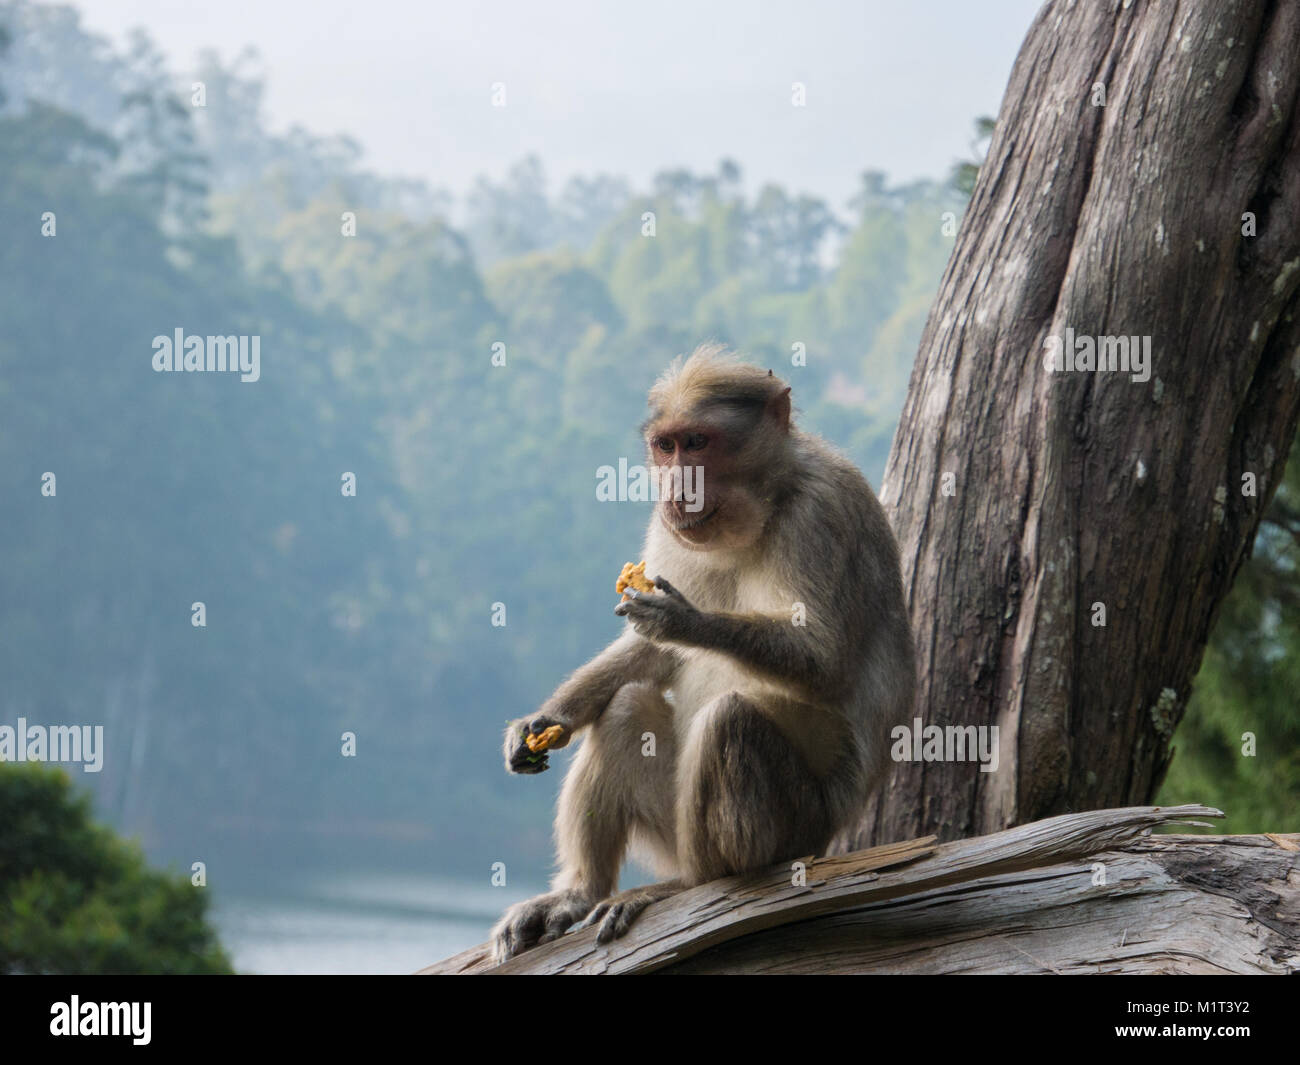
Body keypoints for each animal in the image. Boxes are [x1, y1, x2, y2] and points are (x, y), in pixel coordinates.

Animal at [492, 343, 915, 962]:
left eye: (698, 443)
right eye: (666, 446)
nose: (678, 482)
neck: (762, 503)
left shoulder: (820, 514)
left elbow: (824, 659)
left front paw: (684, 619)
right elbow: (650, 657)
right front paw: (545, 721)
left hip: (799, 829)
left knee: (730, 720)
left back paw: (691, 885)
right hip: (672, 826)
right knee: (628, 709)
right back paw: (579, 892)